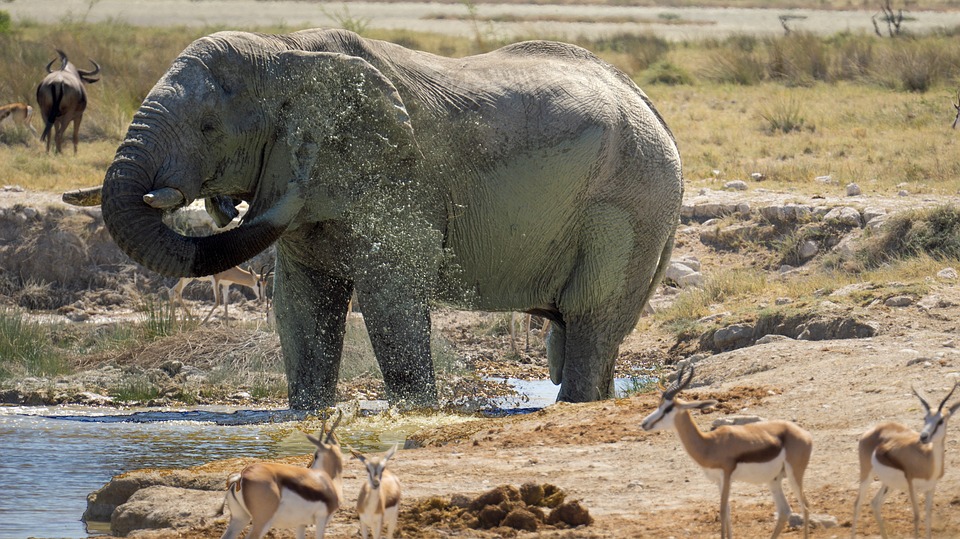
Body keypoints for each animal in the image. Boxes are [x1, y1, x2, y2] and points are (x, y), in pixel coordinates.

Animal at [91, 28, 683, 409]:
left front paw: (417, 414)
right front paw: (308, 416)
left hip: (630, 201)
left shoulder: (400, 181)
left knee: (589, 319)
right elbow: (302, 304)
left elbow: (389, 296)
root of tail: (652, 108)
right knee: (592, 335)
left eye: (209, 128)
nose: (298, 167)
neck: (287, 52)